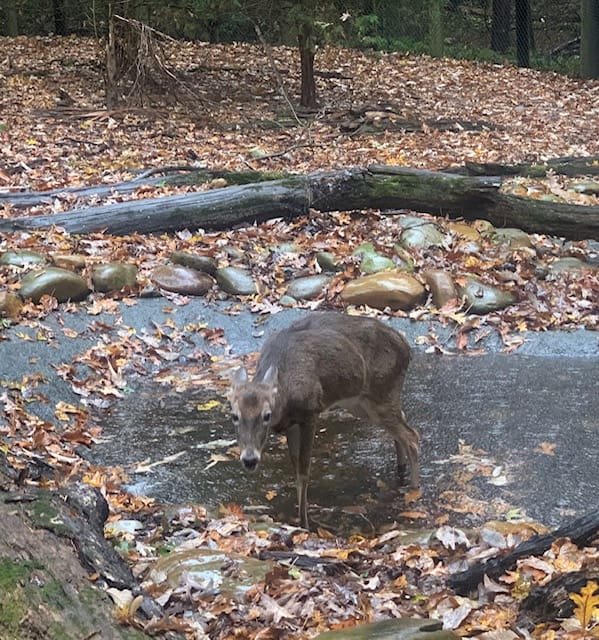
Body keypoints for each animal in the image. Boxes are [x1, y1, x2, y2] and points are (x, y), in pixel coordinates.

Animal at [228, 313, 419, 529]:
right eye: (234, 415)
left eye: (267, 415)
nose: (249, 459)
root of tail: (407, 348)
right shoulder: (291, 425)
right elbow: (296, 471)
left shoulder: (311, 411)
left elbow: (304, 473)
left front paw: (304, 524)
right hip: (362, 402)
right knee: (401, 425)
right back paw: (401, 474)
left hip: (382, 391)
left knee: (412, 436)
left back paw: (414, 492)